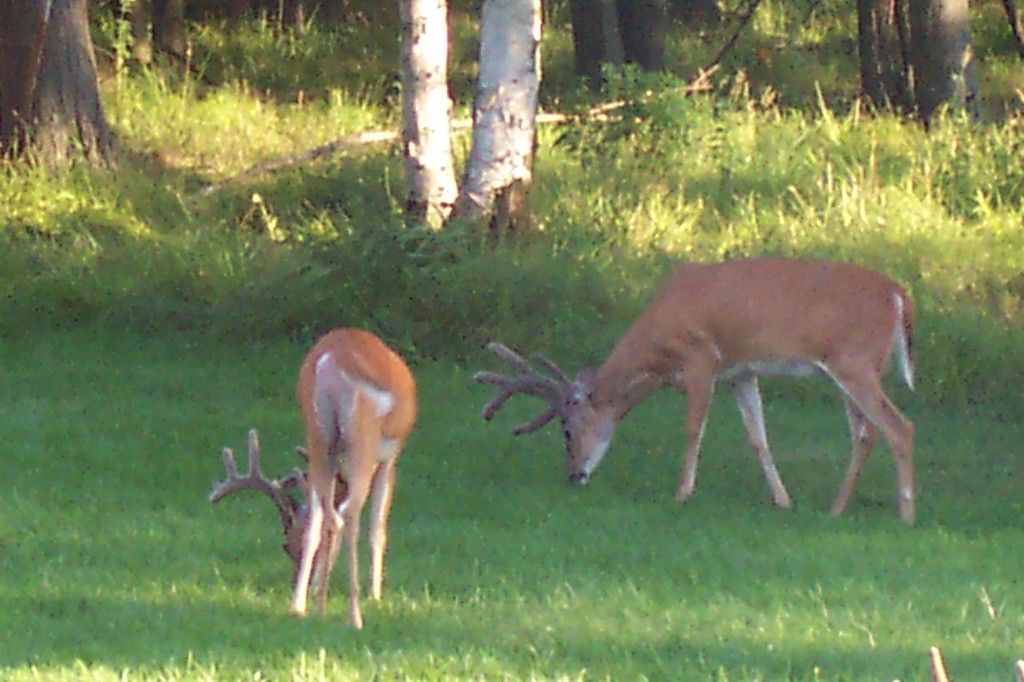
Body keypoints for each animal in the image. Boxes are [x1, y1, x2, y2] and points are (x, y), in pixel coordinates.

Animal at [475, 257, 917, 524]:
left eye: (567, 430)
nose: (575, 476)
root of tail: (899, 295)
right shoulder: (741, 371)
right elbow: (757, 437)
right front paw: (783, 501)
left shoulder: (701, 359)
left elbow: (693, 428)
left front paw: (682, 493)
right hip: (850, 370)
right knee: (867, 434)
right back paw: (837, 509)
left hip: (854, 363)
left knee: (899, 427)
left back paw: (905, 514)